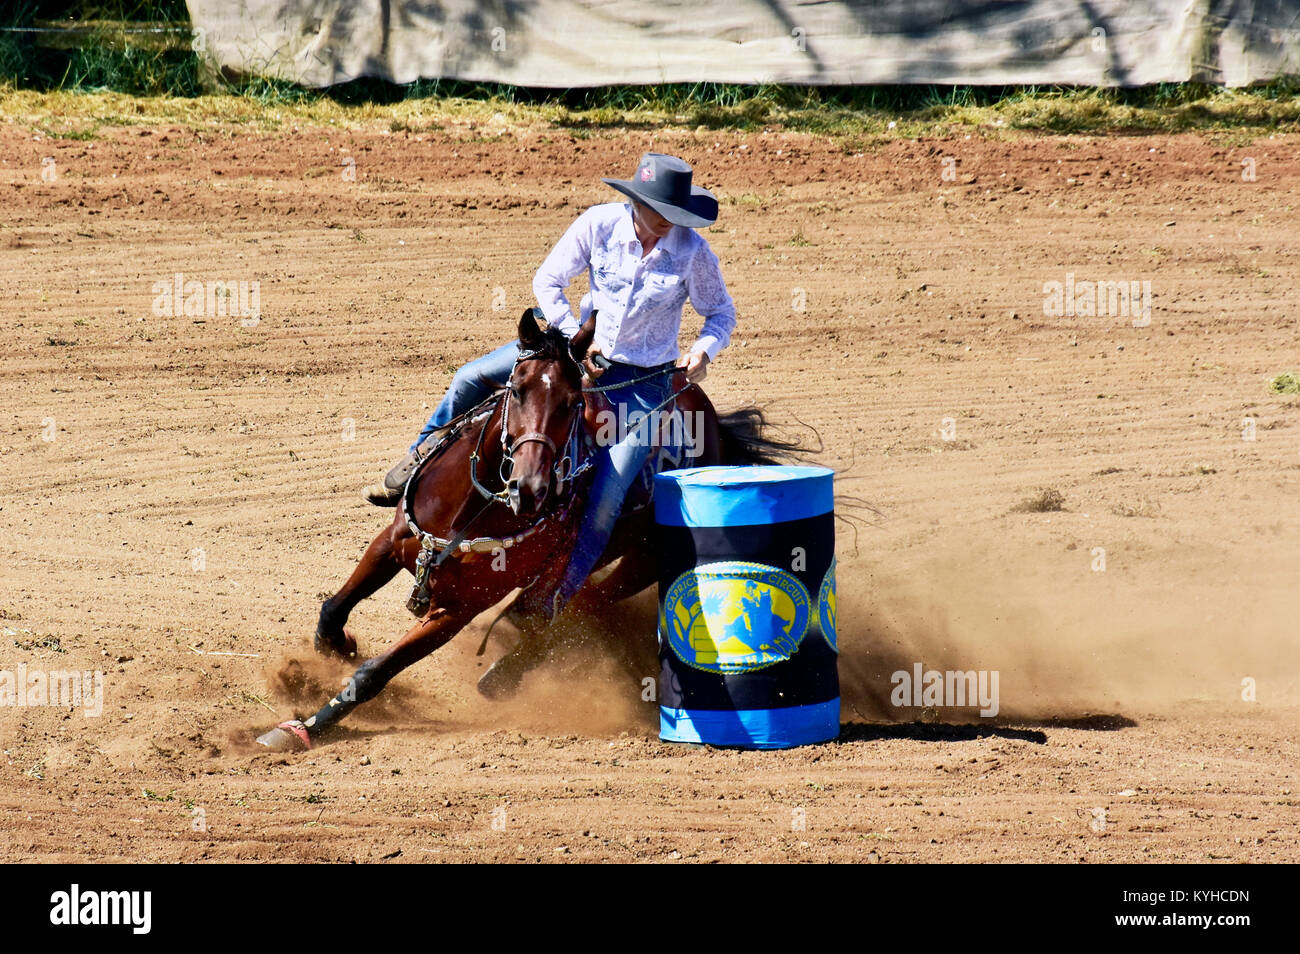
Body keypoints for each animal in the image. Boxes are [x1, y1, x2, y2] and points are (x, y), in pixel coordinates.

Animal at [256, 309, 798, 751]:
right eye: (516, 389)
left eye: (571, 401)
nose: (529, 486)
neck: (470, 510)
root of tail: (711, 422)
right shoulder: (392, 543)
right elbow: (334, 607)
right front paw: (332, 650)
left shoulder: (456, 609)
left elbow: (375, 674)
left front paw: (299, 729)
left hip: (645, 559)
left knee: (578, 605)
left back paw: (504, 674)